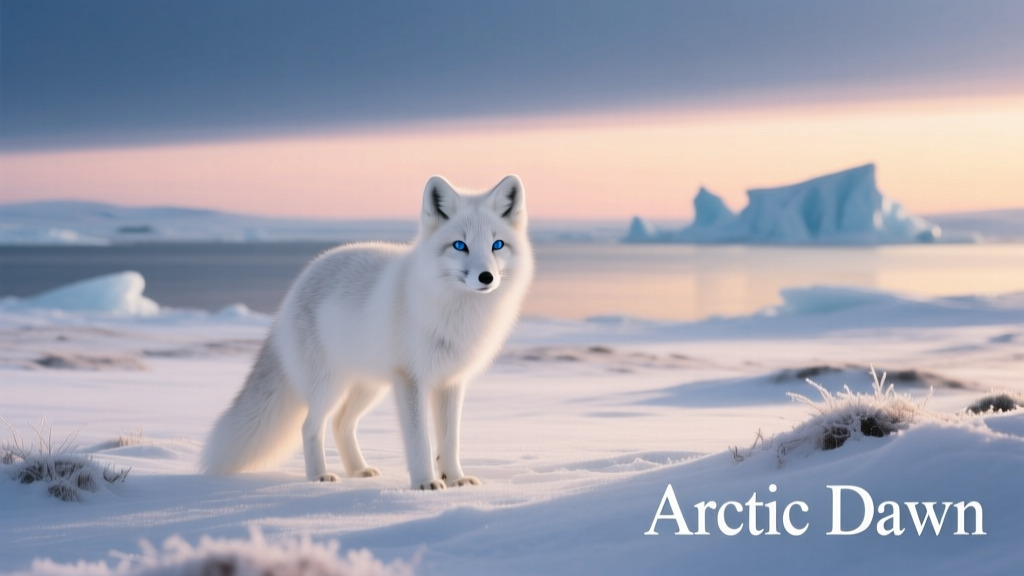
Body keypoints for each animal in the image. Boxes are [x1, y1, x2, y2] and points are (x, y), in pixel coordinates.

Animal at [200, 175, 533, 489]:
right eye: (460, 245)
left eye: (497, 245)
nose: (486, 277)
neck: (457, 310)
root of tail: (297, 285)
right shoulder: (410, 378)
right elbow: (419, 440)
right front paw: (425, 483)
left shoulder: (450, 381)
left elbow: (450, 441)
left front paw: (455, 480)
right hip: (331, 385)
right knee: (311, 427)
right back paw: (318, 476)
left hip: (368, 386)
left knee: (341, 424)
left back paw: (358, 471)